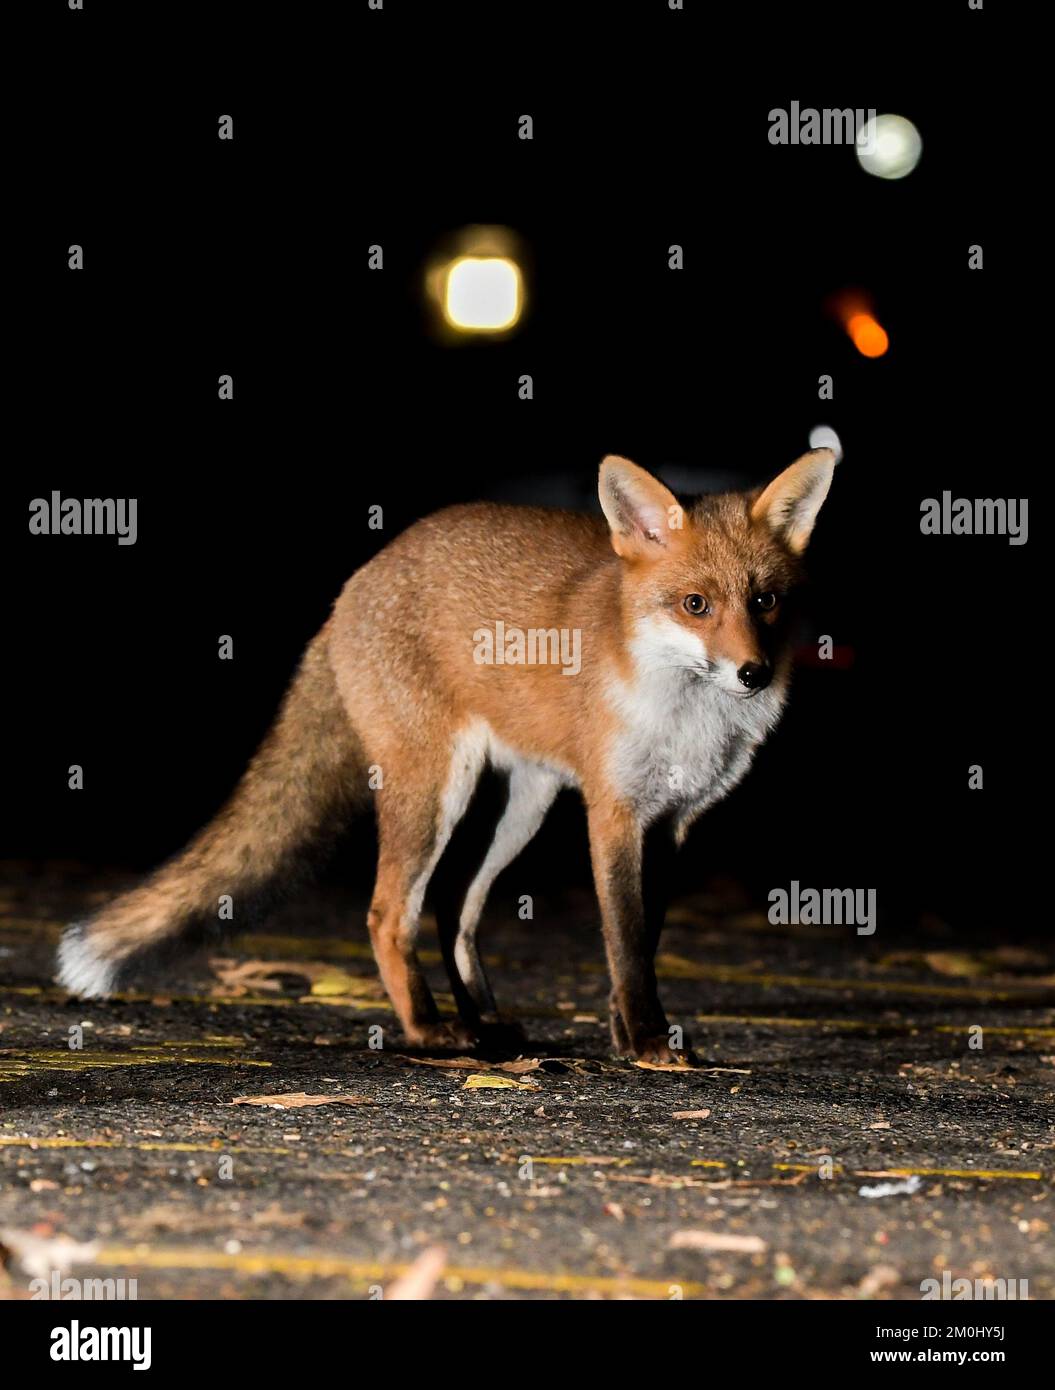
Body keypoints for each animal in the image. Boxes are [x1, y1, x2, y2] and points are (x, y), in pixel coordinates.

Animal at [57, 448, 836, 1064]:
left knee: (454, 903)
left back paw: (484, 1020)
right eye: (695, 604)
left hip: (519, 805)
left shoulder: (672, 821)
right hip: (435, 788)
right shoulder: (614, 811)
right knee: (388, 913)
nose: (753, 673)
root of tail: (358, 581)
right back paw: (430, 1030)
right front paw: (645, 1042)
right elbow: (623, 939)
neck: (687, 721)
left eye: (765, 601)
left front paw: (630, 1035)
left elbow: (643, 940)